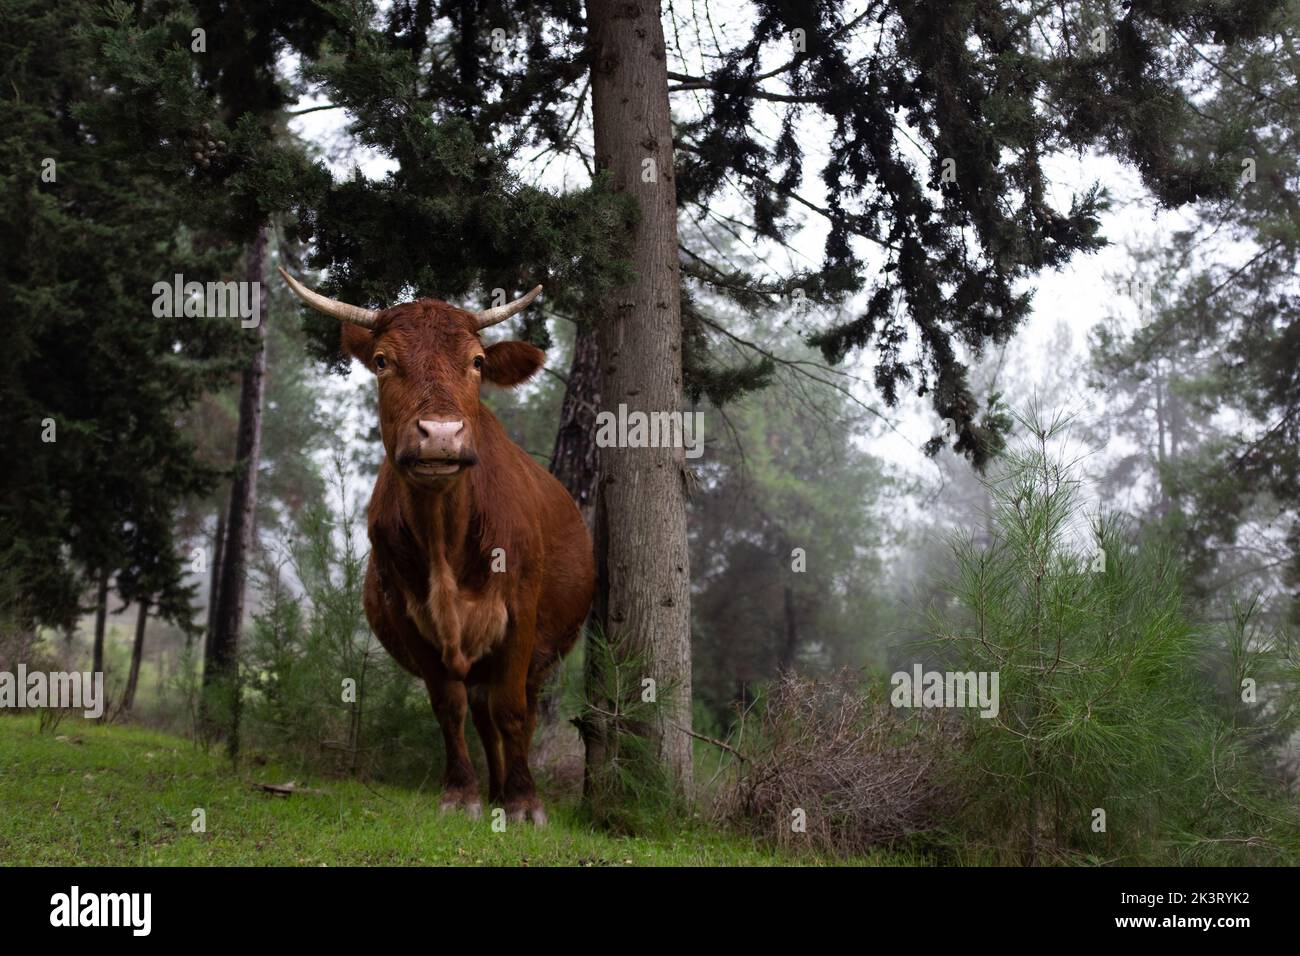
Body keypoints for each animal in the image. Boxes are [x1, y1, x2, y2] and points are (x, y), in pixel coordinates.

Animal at [281, 268, 594, 825]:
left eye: (477, 361)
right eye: (383, 361)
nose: (441, 434)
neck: (445, 534)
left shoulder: (521, 613)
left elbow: (513, 711)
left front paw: (526, 802)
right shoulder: (408, 616)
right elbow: (449, 708)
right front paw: (462, 793)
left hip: (540, 652)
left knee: (514, 707)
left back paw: (510, 789)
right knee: (481, 710)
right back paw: (494, 789)